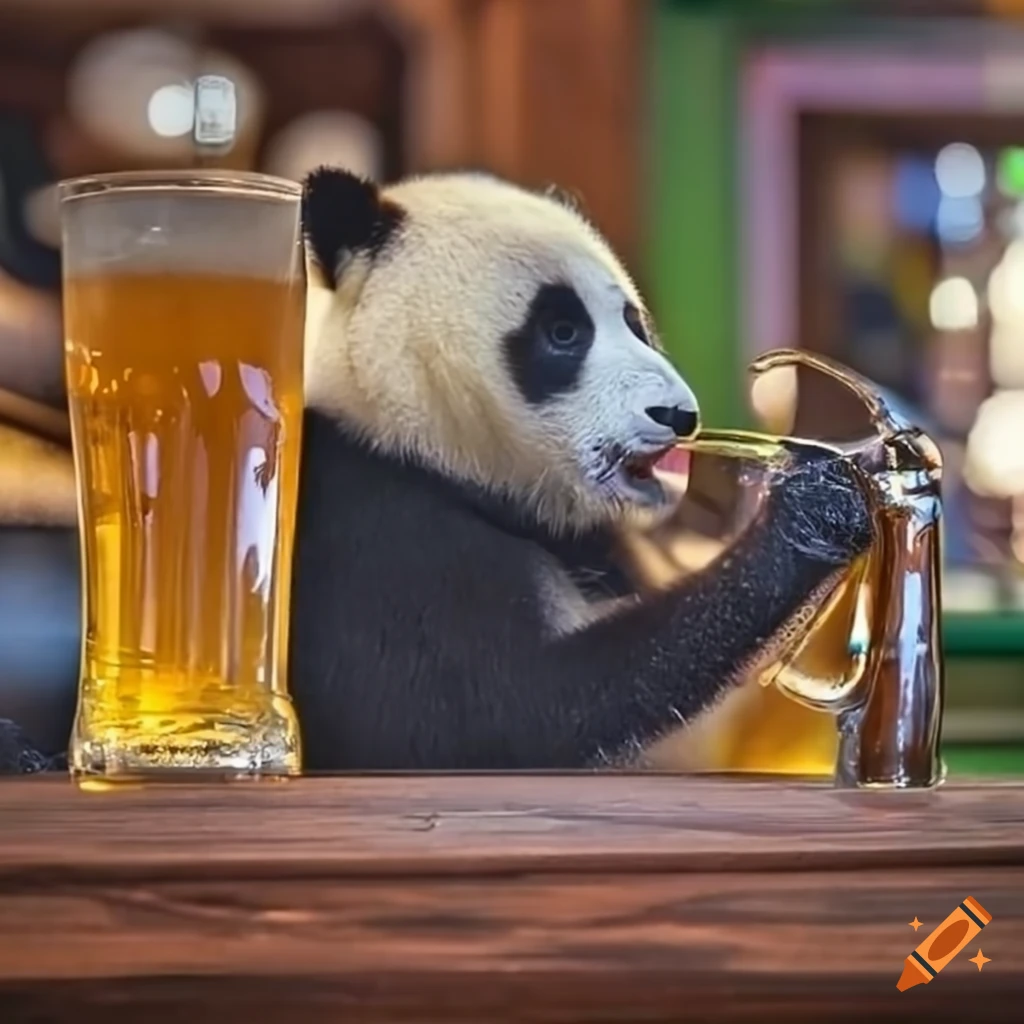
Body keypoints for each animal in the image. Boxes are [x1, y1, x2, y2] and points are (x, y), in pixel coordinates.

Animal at [289, 167, 875, 772]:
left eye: (634, 324)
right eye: (563, 332)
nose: (678, 415)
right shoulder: (376, 539)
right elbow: (511, 711)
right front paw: (811, 512)